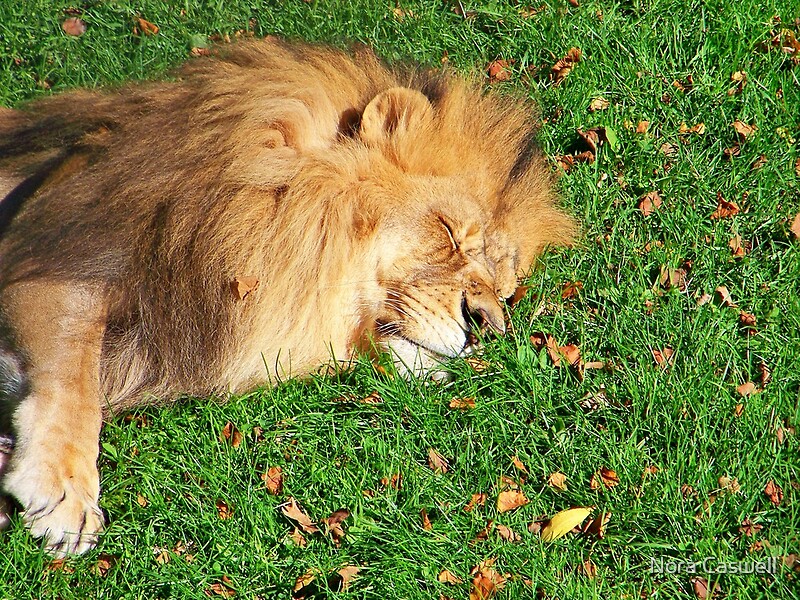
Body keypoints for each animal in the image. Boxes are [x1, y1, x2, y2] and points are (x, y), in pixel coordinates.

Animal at [0, 38, 574, 555]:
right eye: (448, 232)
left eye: (502, 292)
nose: (486, 327)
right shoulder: (58, 256)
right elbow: (74, 374)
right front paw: (65, 492)